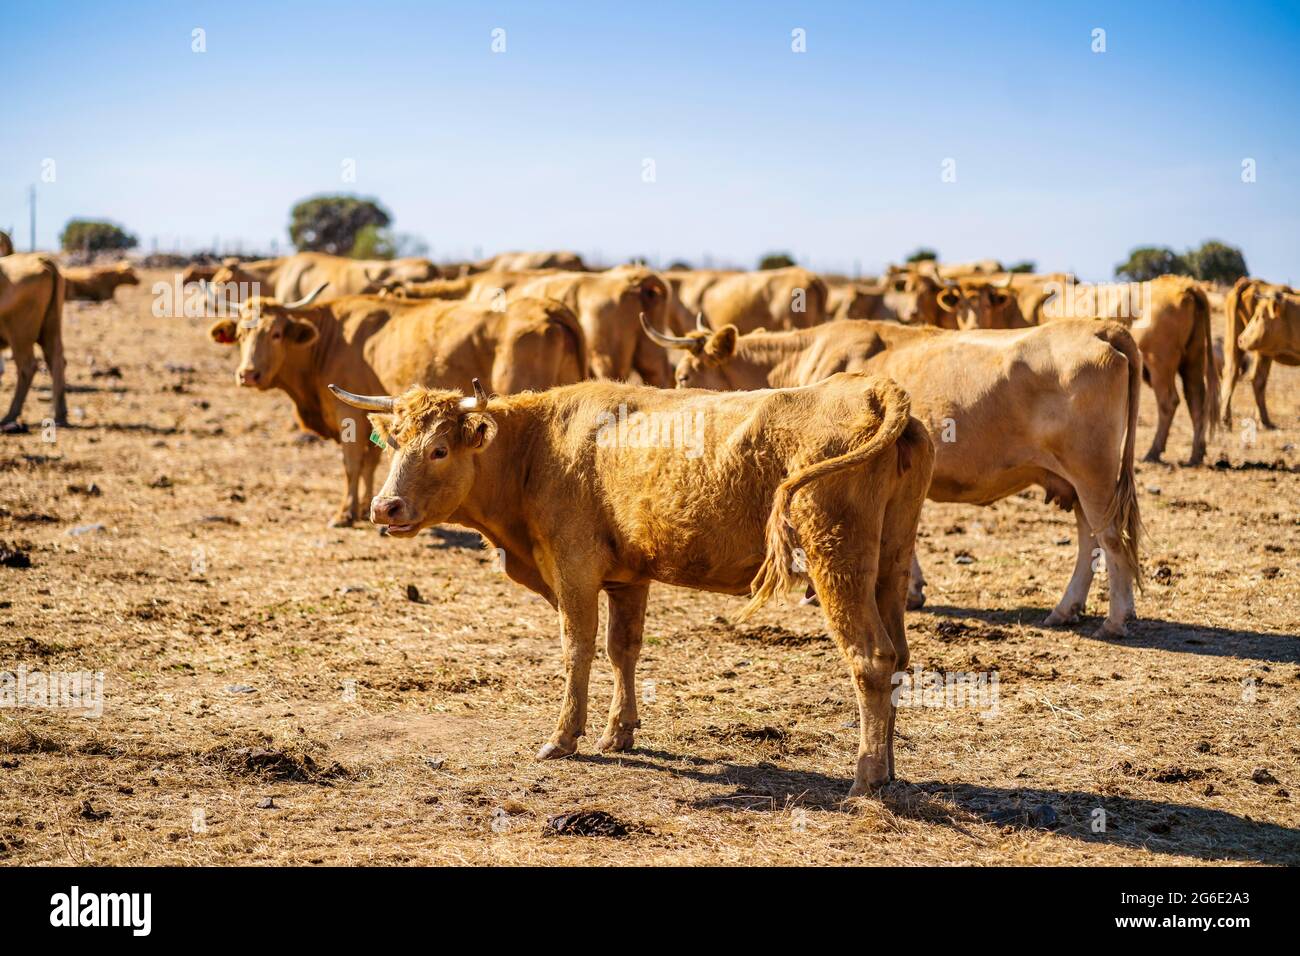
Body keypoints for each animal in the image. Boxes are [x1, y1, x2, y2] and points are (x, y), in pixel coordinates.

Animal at [0, 254, 66, 431]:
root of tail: (40, 259)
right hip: (51, 328)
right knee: (56, 360)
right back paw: (60, 415)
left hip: (20, 334)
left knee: (27, 367)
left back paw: (9, 416)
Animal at [208, 286, 587, 526]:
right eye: (241, 334)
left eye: (275, 334)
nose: (248, 374)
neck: (332, 336)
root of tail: (549, 307)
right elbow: (371, 463)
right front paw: (364, 508)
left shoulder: (348, 414)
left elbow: (351, 463)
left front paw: (343, 514)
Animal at [330, 372, 934, 795]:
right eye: (395, 443)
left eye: (439, 449)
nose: (385, 507)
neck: (536, 448)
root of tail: (871, 388)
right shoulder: (627, 579)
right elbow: (623, 649)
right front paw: (619, 731)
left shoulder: (573, 569)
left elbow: (578, 647)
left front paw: (563, 737)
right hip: (890, 562)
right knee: (898, 657)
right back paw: (891, 769)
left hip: (837, 561)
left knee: (871, 657)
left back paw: (865, 776)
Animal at [645, 317, 1144, 637]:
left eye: (684, 374)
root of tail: (1100, 326)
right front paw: (914, 591)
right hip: (1074, 479)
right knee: (1089, 537)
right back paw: (1066, 609)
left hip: (1093, 472)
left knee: (1109, 538)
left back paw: (1116, 620)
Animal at [1221, 277, 1295, 428]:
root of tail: (1251, 282)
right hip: (1262, 348)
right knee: (1258, 380)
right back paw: (1263, 421)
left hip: (1235, 340)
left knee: (1231, 372)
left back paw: (1227, 420)